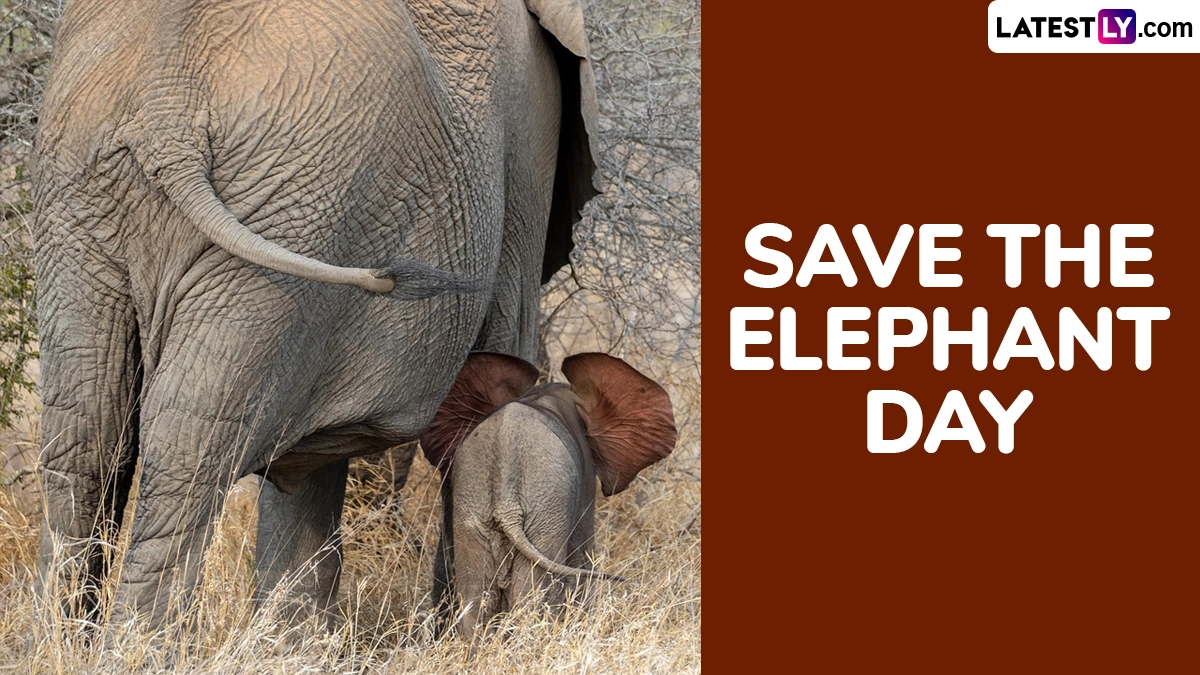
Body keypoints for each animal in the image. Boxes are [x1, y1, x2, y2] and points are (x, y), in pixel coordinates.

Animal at [32, 0, 600, 628]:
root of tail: (166, 108)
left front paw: (292, 639)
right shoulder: (530, 135)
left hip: (95, 194)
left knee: (88, 434)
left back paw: (68, 641)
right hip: (298, 205)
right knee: (186, 452)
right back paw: (137, 643)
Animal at [418, 352, 677, 640]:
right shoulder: (585, 482)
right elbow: (582, 555)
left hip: (475, 507)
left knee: (476, 596)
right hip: (545, 510)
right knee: (530, 594)